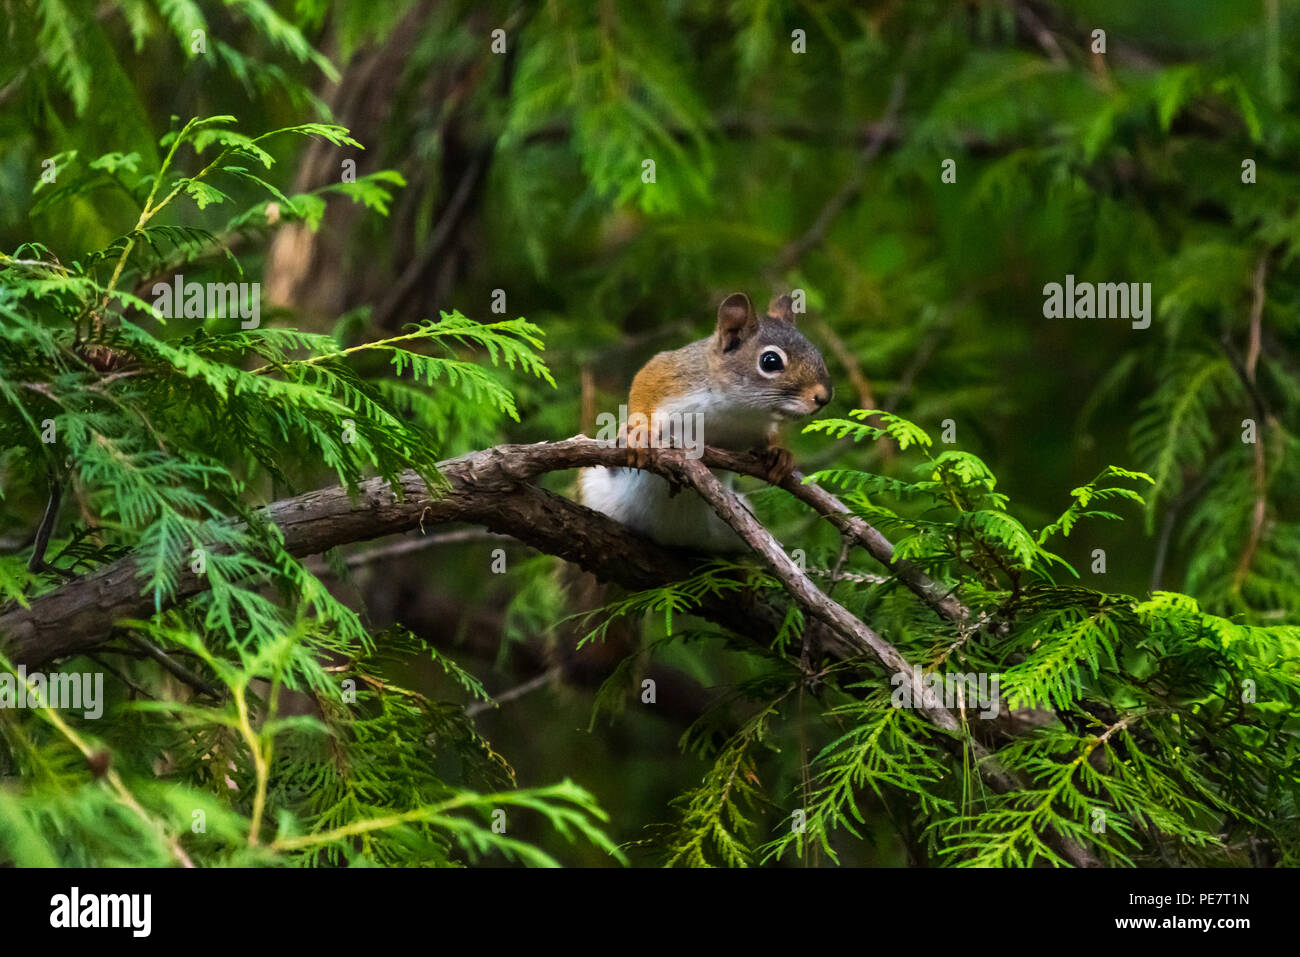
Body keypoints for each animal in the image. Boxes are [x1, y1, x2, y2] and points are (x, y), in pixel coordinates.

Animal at [579, 291, 832, 552]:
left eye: (816, 353)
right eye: (770, 361)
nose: (824, 397)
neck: (739, 410)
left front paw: (778, 454)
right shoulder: (674, 374)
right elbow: (645, 384)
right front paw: (639, 433)